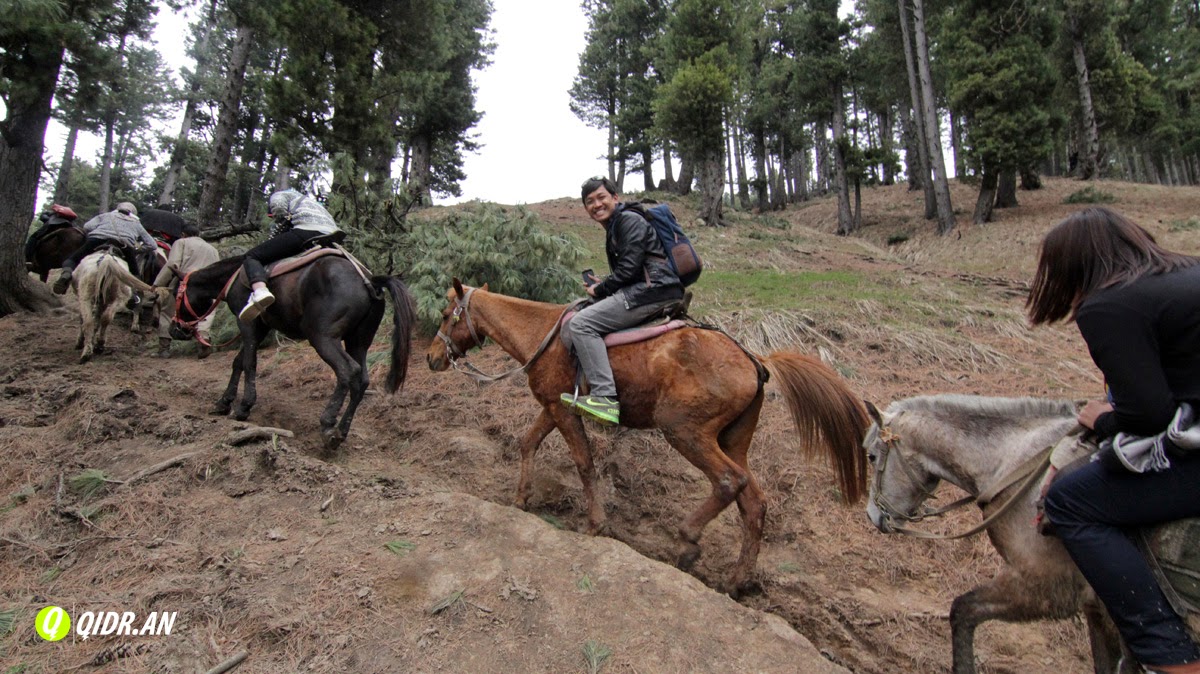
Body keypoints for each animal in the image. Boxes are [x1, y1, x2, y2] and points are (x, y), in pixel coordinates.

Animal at [172, 253, 415, 451]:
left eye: (175, 294)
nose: (175, 329)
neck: (233, 277)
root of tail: (369, 281)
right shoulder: (261, 328)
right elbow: (239, 362)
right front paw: (224, 402)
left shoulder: (248, 324)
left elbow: (249, 362)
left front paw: (243, 406)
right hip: (358, 342)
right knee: (362, 379)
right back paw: (341, 431)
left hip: (323, 338)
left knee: (347, 371)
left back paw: (328, 423)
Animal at [425, 280, 869, 594]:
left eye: (447, 315)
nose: (431, 358)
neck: (544, 335)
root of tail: (754, 359)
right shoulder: (553, 407)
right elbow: (527, 442)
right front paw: (520, 499)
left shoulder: (564, 412)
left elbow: (584, 463)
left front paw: (595, 524)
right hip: (733, 441)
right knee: (753, 502)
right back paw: (737, 581)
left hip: (684, 432)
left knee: (730, 481)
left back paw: (688, 541)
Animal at [862, 394, 1129, 674]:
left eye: (871, 456)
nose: (872, 514)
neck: (1014, 462)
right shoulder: (1095, 611)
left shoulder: (1041, 587)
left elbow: (962, 611)